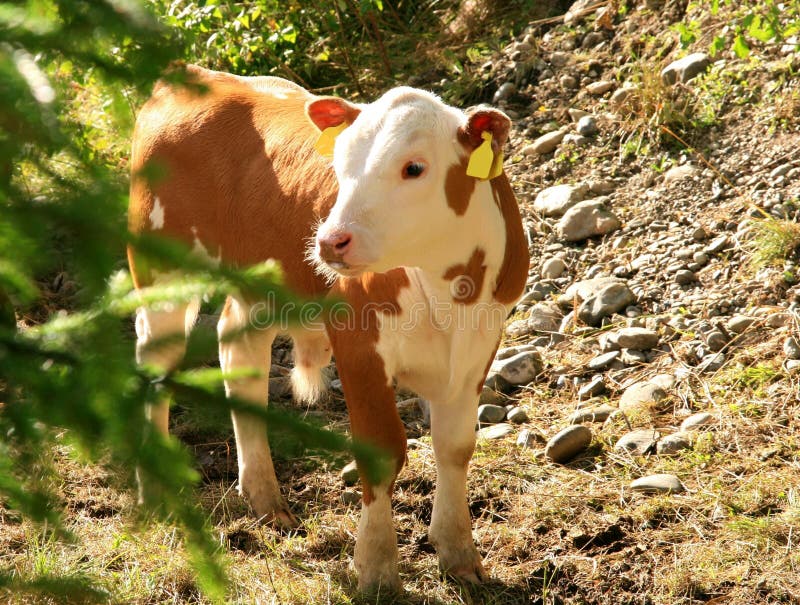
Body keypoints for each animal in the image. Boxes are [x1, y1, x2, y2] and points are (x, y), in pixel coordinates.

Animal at [128, 64, 528, 591]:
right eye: (340, 164)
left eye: (414, 167)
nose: (330, 241)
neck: (446, 288)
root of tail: (192, 73)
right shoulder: (359, 344)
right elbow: (383, 451)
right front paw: (376, 568)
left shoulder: (479, 345)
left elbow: (455, 447)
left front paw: (459, 554)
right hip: (161, 272)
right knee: (154, 363)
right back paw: (153, 489)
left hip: (258, 285)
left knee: (240, 354)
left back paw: (266, 499)